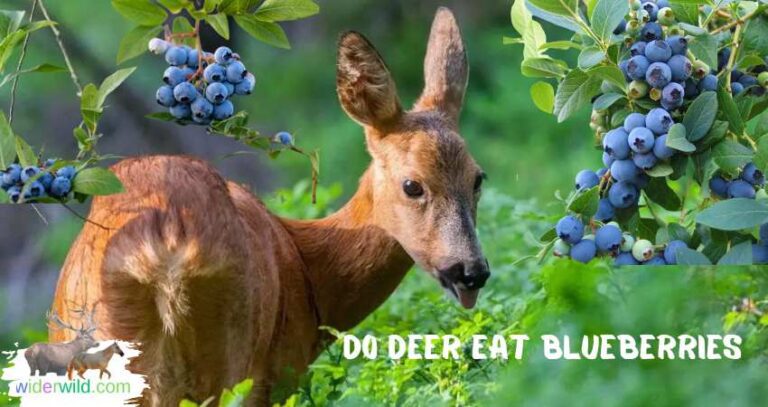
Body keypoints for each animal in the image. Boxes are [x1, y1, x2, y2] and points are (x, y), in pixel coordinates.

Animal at [49, 7, 488, 406]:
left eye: (478, 178)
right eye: (412, 185)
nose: (471, 271)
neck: (312, 276)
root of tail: (164, 250)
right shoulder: (277, 373)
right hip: (223, 351)